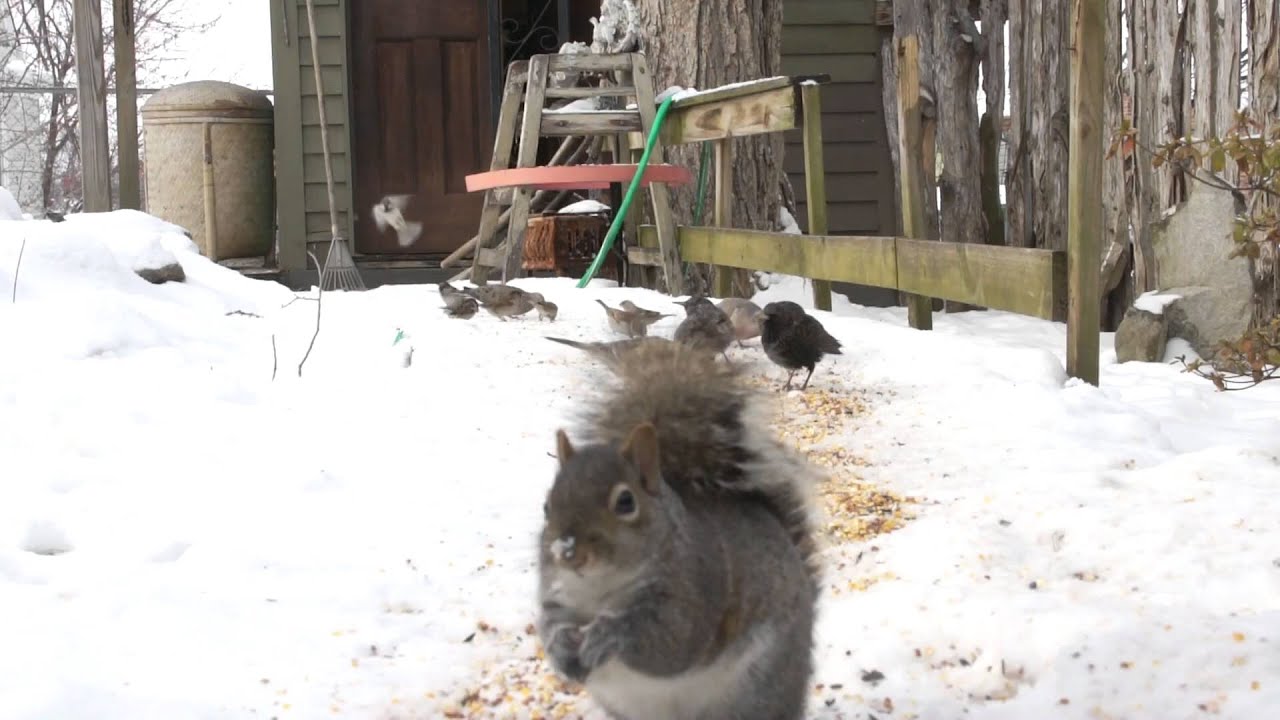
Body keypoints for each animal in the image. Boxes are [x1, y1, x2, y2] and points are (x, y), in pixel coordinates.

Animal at [536, 340, 823, 720]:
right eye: (547, 505)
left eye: (625, 502)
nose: (567, 552)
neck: (601, 588)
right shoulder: (556, 593)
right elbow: (549, 624)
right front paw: (560, 646)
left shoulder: (696, 587)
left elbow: (672, 642)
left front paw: (609, 634)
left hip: (756, 692)